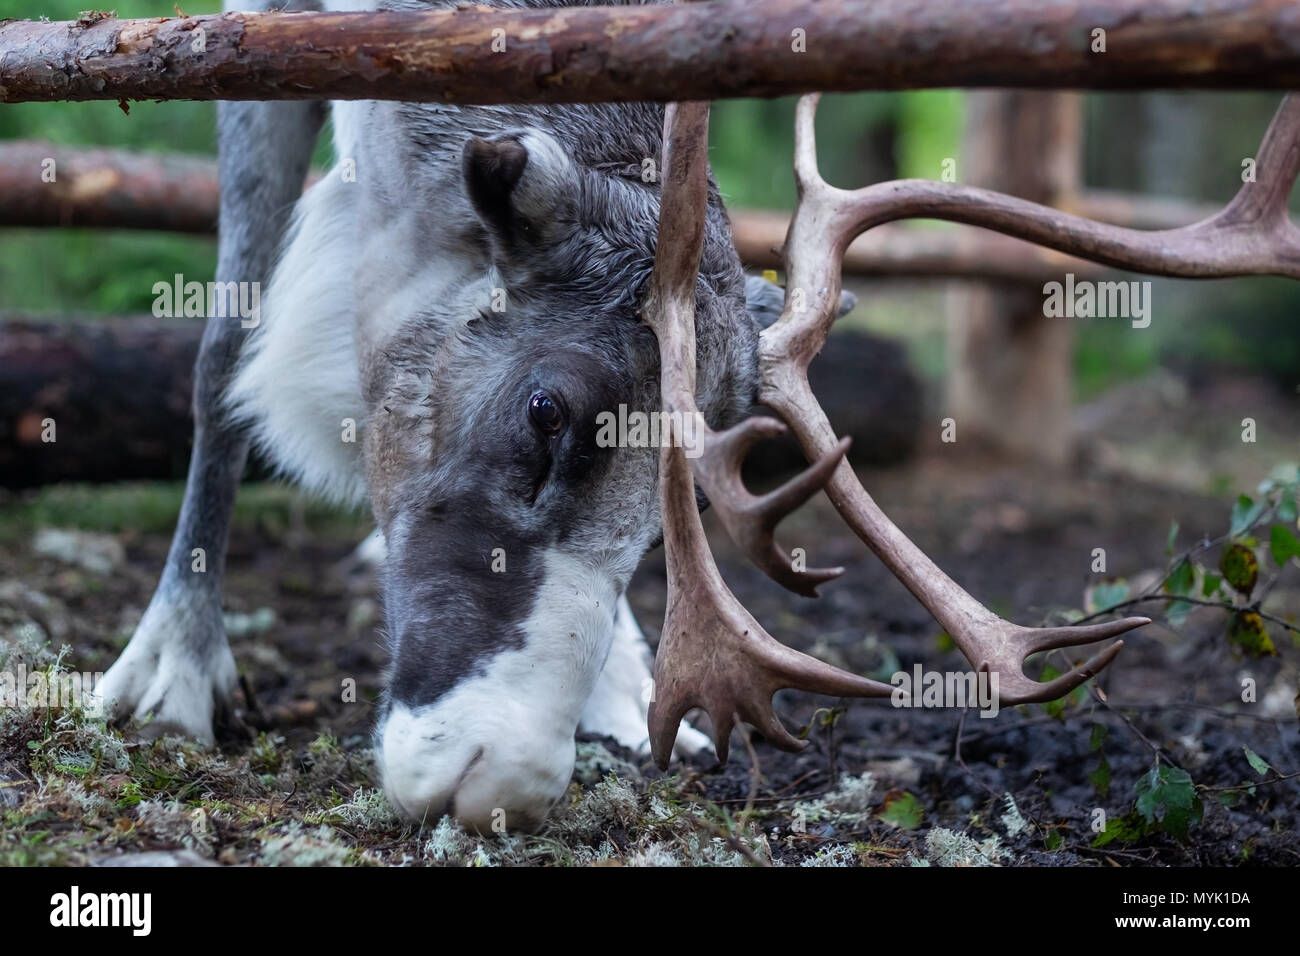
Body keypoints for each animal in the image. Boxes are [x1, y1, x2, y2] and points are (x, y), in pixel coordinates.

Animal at [92, 0, 1300, 832]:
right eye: (547, 408)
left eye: (703, 469)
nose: (498, 781)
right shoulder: (252, 47)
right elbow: (216, 357)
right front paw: (176, 666)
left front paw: (621, 683)